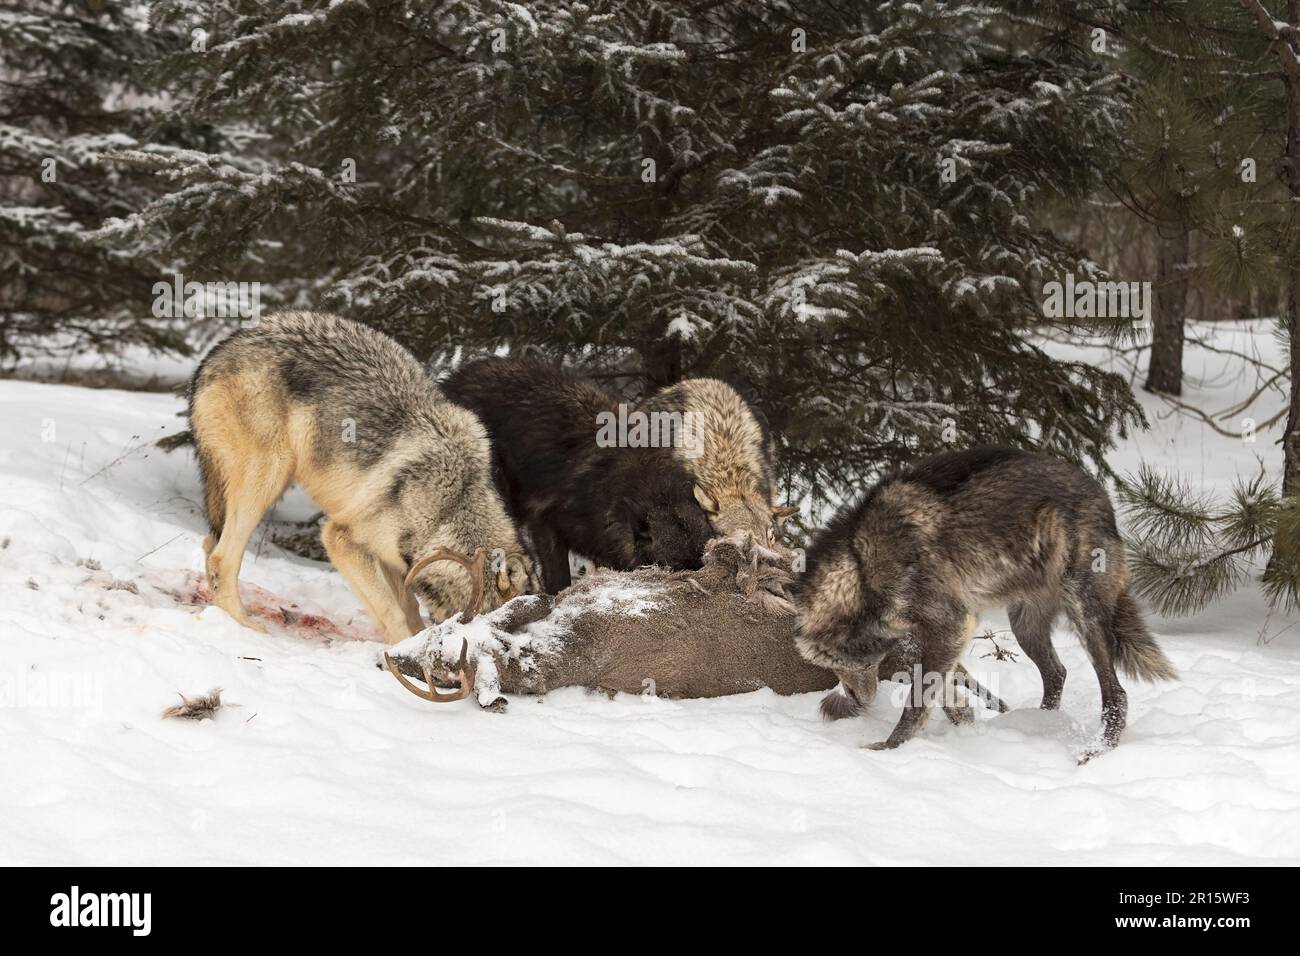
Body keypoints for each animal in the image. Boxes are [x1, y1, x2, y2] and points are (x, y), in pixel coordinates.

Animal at [189, 311, 534, 644]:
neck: (449, 507)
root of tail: (221, 350)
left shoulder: (395, 563)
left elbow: (410, 611)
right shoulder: (341, 538)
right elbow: (394, 614)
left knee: (209, 545)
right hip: (269, 479)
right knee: (221, 558)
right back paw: (243, 626)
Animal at [794, 446, 1176, 760]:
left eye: (845, 664)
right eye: (833, 667)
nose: (855, 702)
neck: (861, 565)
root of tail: (1101, 493)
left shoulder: (949, 626)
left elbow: (917, 702)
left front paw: (891, 748)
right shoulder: (928, 637)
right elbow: (946, 695)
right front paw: (966, 727)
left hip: (1083, 615)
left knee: (1116, 694)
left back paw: (1096, 751)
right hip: (1025, 626)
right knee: (1057, 673)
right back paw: (1038, 724)